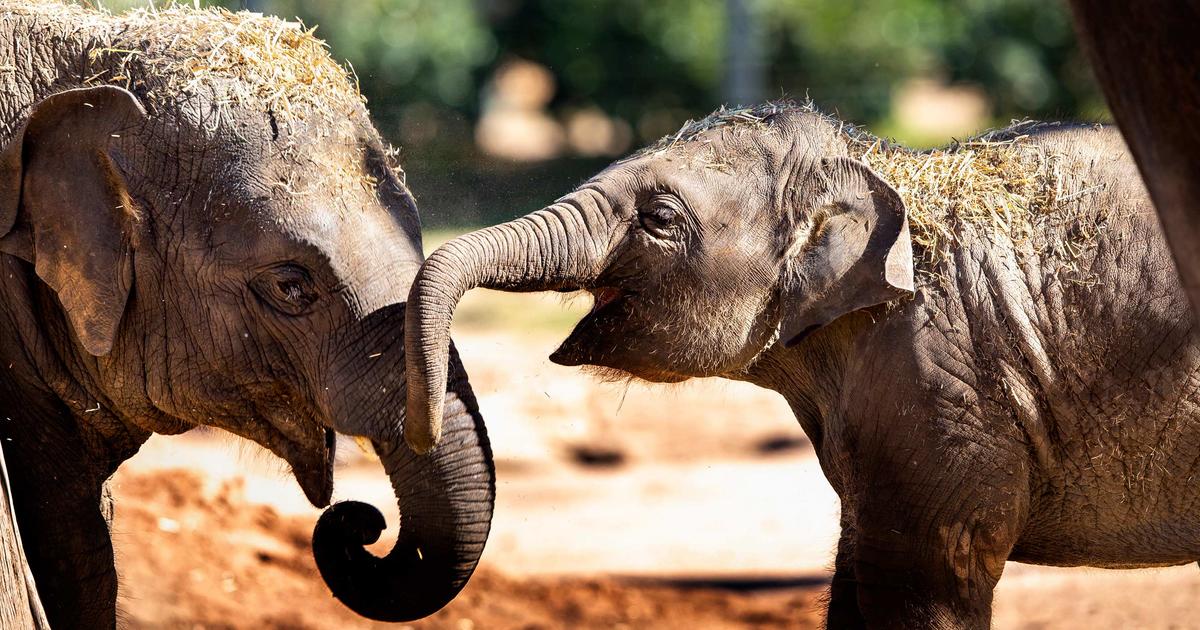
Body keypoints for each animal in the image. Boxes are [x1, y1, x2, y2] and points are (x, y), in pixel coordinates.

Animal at [404, 101, 1200, 628]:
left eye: (660, 219)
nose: (419, 429)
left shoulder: (945, 386)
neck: (880, 167)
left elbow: (923, 578)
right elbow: (857, 571)